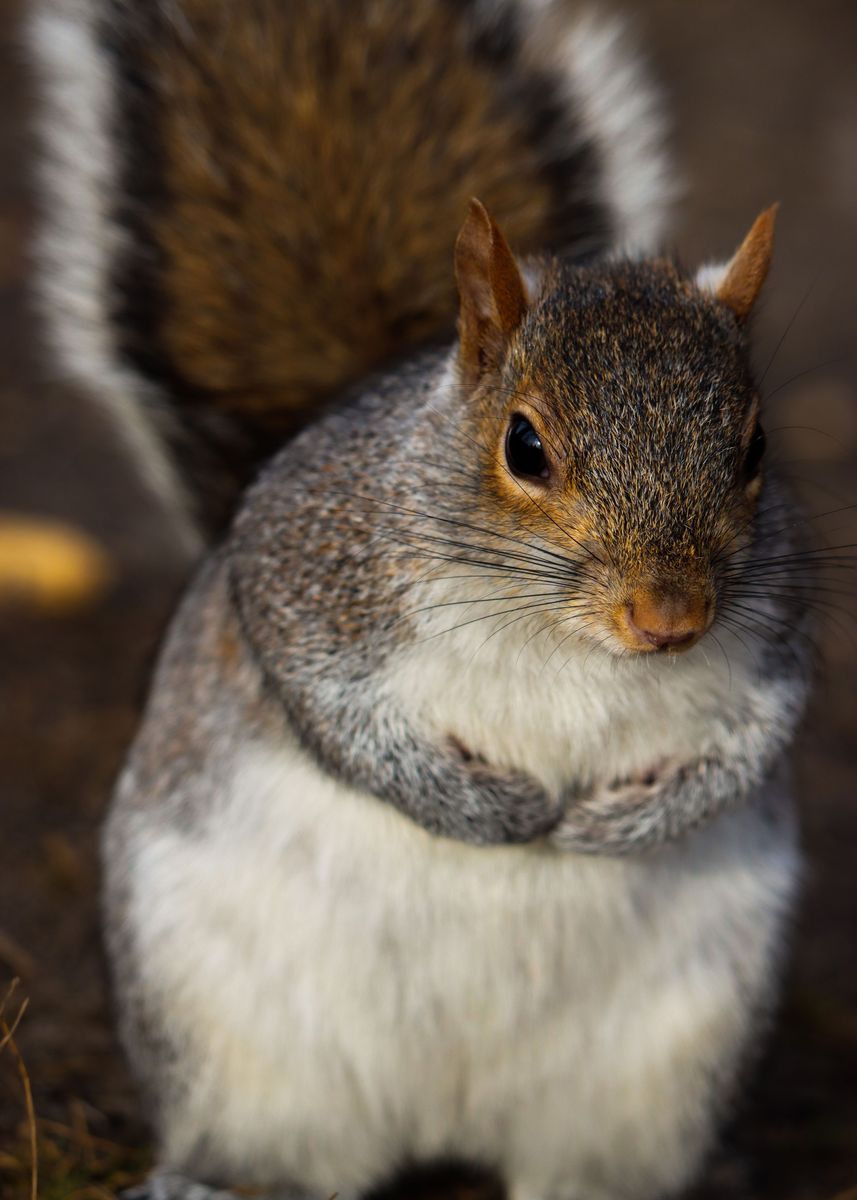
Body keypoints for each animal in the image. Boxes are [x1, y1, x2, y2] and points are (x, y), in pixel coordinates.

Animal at [31, 1, 814, 1199]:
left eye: (755, 449)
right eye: (524, 447)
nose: (671, 620)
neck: (563, 640)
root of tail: (450, 1117)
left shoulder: (774, 637)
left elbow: (761, 735)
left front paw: (618, 823)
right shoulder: (303, 565)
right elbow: (328, 710)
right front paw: (496, 813)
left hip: (667, 1063)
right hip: (235, 1037)